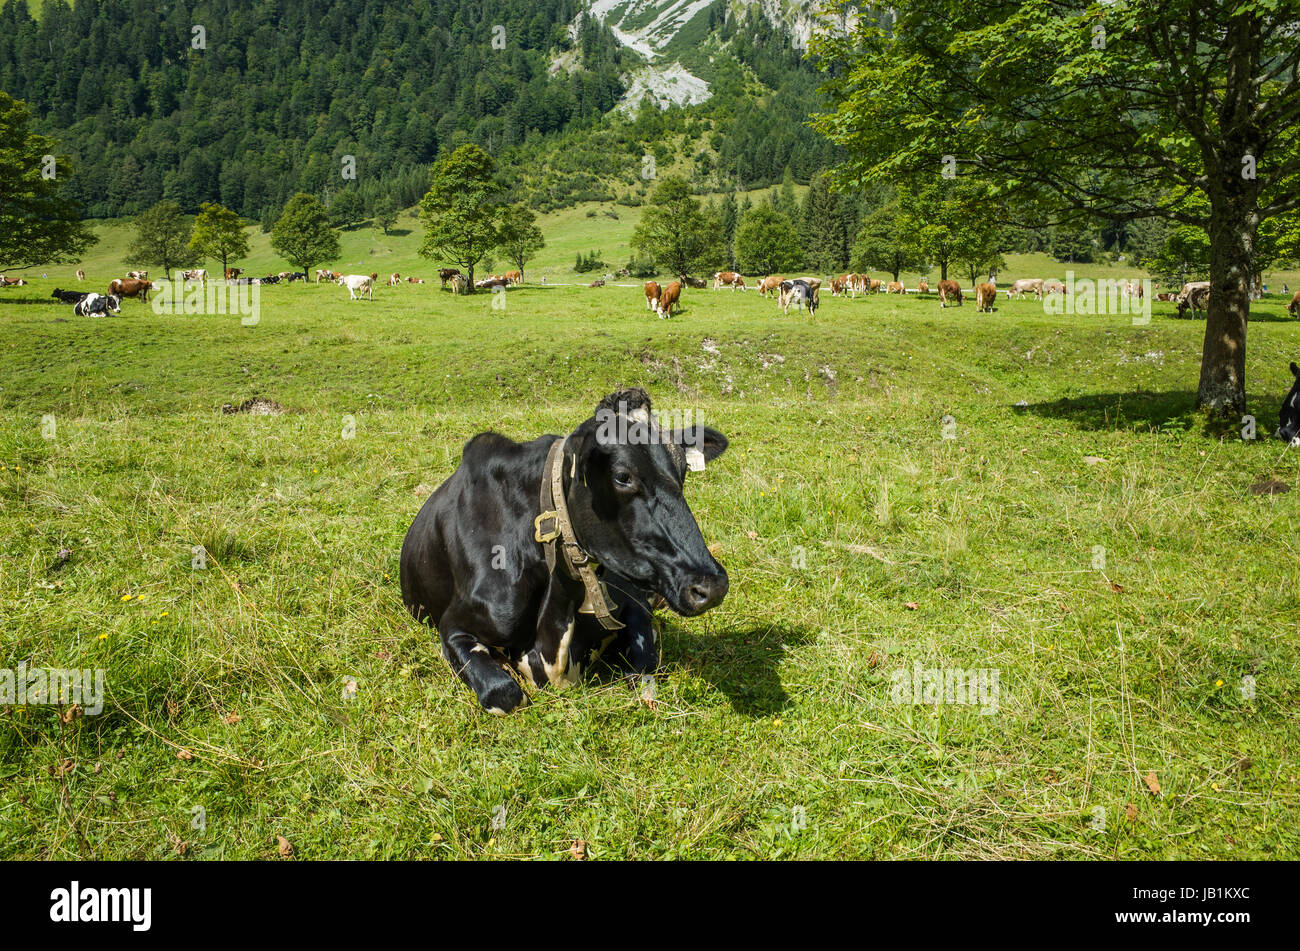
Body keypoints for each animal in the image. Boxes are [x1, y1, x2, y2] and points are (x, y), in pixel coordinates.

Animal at [399, 387, 729, 715]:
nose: (712, 586)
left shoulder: (631, 605)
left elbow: (644, 672)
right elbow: (504, 693)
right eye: (623, 476)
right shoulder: (453, 625)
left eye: (683, 470)